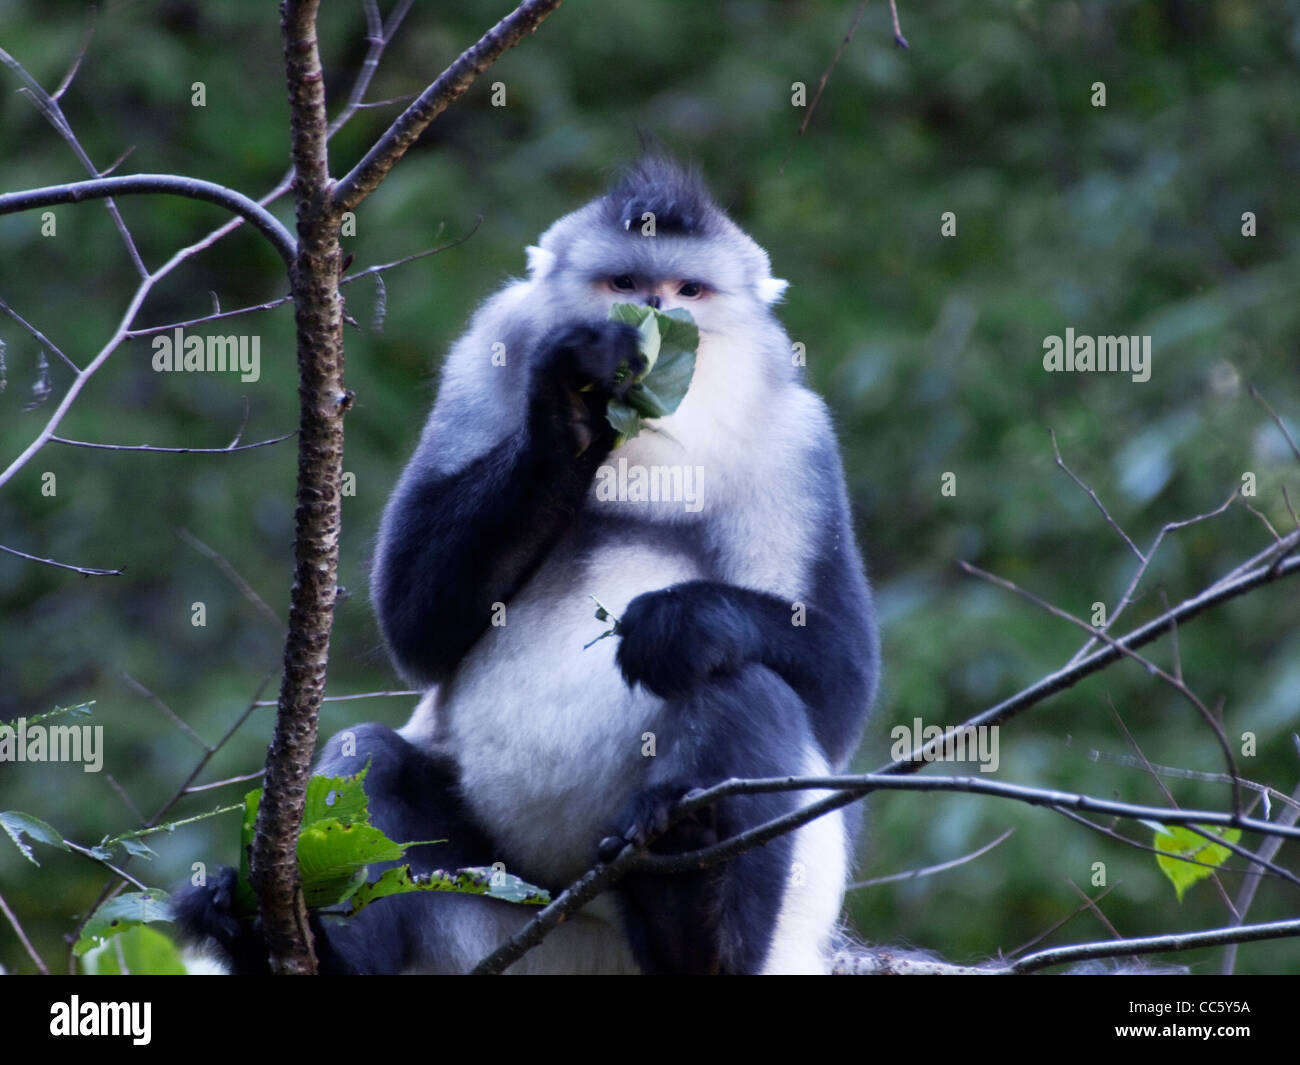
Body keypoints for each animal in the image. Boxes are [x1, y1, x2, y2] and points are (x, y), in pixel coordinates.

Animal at [175, 157, 879, 974]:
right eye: (623, 281)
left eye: (689, 291)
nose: (654, 311)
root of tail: (579, 927)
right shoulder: (486, 348)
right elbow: (413, 621)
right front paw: (570, 413)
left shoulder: (799, 439)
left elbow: (841, 684)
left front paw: (681, 617)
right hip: (489, 899)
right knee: (370, 753)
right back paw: (302, 946)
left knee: (740, 682)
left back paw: (699, 924)